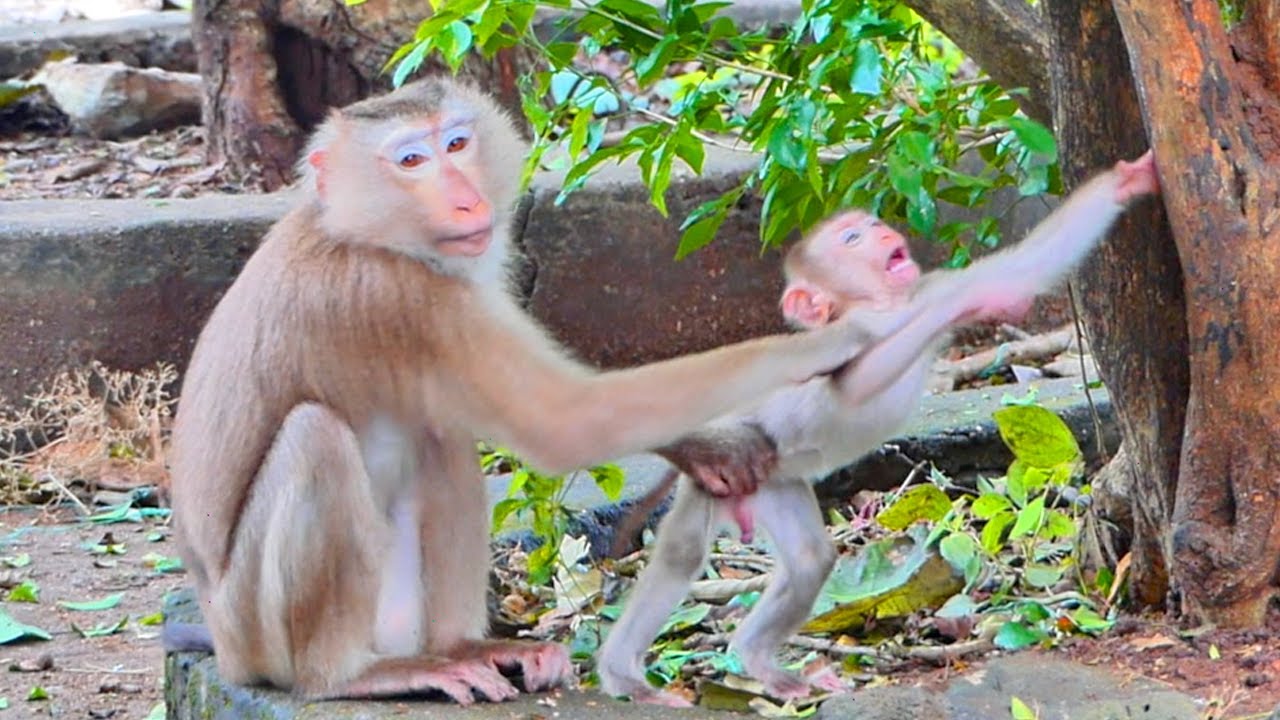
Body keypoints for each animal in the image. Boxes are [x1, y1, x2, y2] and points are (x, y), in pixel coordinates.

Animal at [163, 76, 933, 706]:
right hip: (257, 627)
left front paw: (707, 448)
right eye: (411, 161)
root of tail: (227, 650)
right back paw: (346, 676)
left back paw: (464, 646)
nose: (465, 197)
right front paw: (838, 338)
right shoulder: (398, 294)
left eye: (457, 143)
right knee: (317, 438)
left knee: (438, 435)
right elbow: (560, 419)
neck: (357, 228)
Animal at [596, 151, 1160, 707]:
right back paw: (623, 673)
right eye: (851, 238)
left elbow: (1021, 269)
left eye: (867, 225)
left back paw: (758, 660)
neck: (885, 306)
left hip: (774, 481)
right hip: (732, 464)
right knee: (682, 552)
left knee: (809, 560)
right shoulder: (854, 329)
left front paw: (1129, 179)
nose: (882, 232)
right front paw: (946, 314)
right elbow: (855, 376)